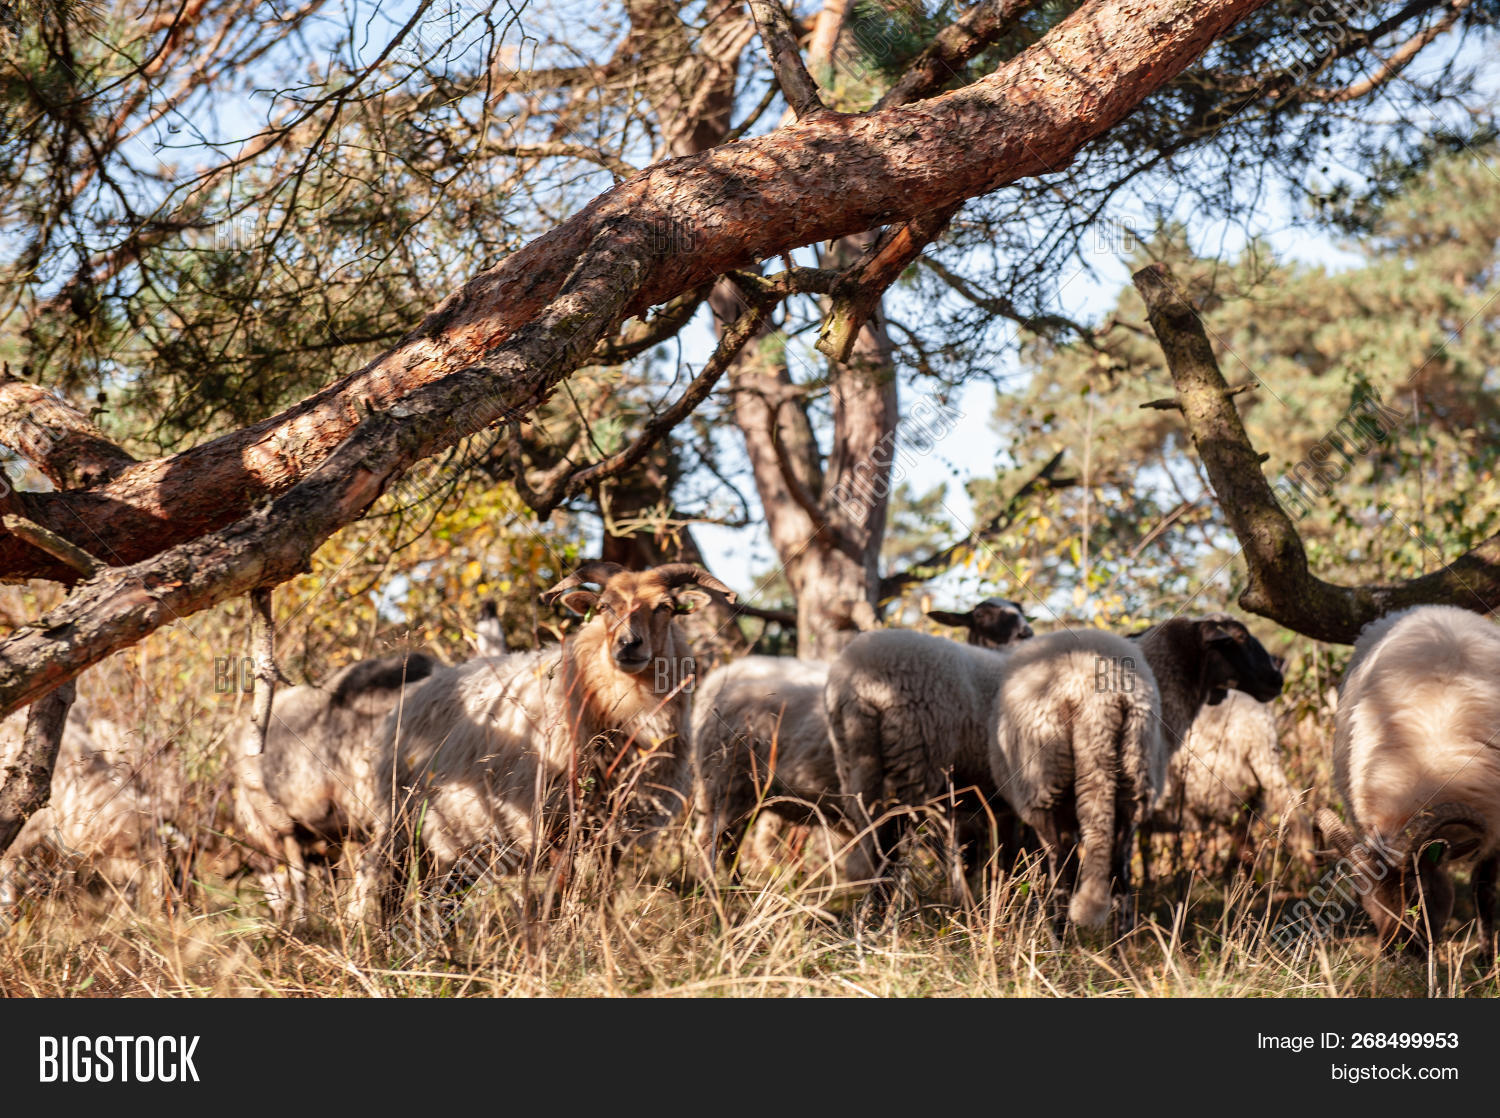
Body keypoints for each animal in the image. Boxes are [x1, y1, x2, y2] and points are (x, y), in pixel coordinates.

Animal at [352, 561, 734, 919]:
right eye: (605, 606)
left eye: (665, 607)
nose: (628, 645)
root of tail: (421, 687)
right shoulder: (557, 826)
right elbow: (560, 893)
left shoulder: (614, 834)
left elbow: (606, 895)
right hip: (400, 819)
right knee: (388, 886)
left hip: (453, 837)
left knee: (440, 896)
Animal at [1317, 605, 1500, 953]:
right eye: (1364, 897)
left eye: (1419, 892)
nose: (1397, 952)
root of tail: (1433, 608)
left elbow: (1483, 887)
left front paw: (1487, 954)